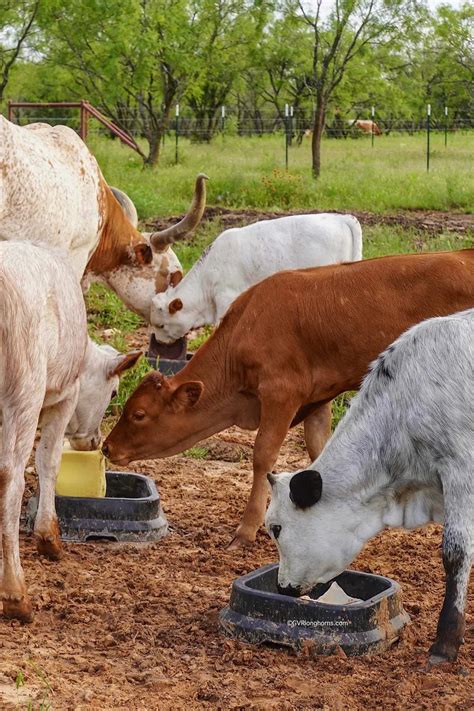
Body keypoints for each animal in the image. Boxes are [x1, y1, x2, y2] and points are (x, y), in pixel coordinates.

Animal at [0, 241, 141, 622]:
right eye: (113, 393)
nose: (95, 442)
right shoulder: (66, 395)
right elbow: (48, 462)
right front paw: (49, 537)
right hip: (22, 394)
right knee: (10, 482)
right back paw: (15, 594)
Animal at [103, 248, 474, 549]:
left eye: (139, 414)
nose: (107, 447)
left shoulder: (281, 393)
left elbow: (263, 455)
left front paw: (246, 530)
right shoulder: (319, 396)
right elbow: (318, 450)